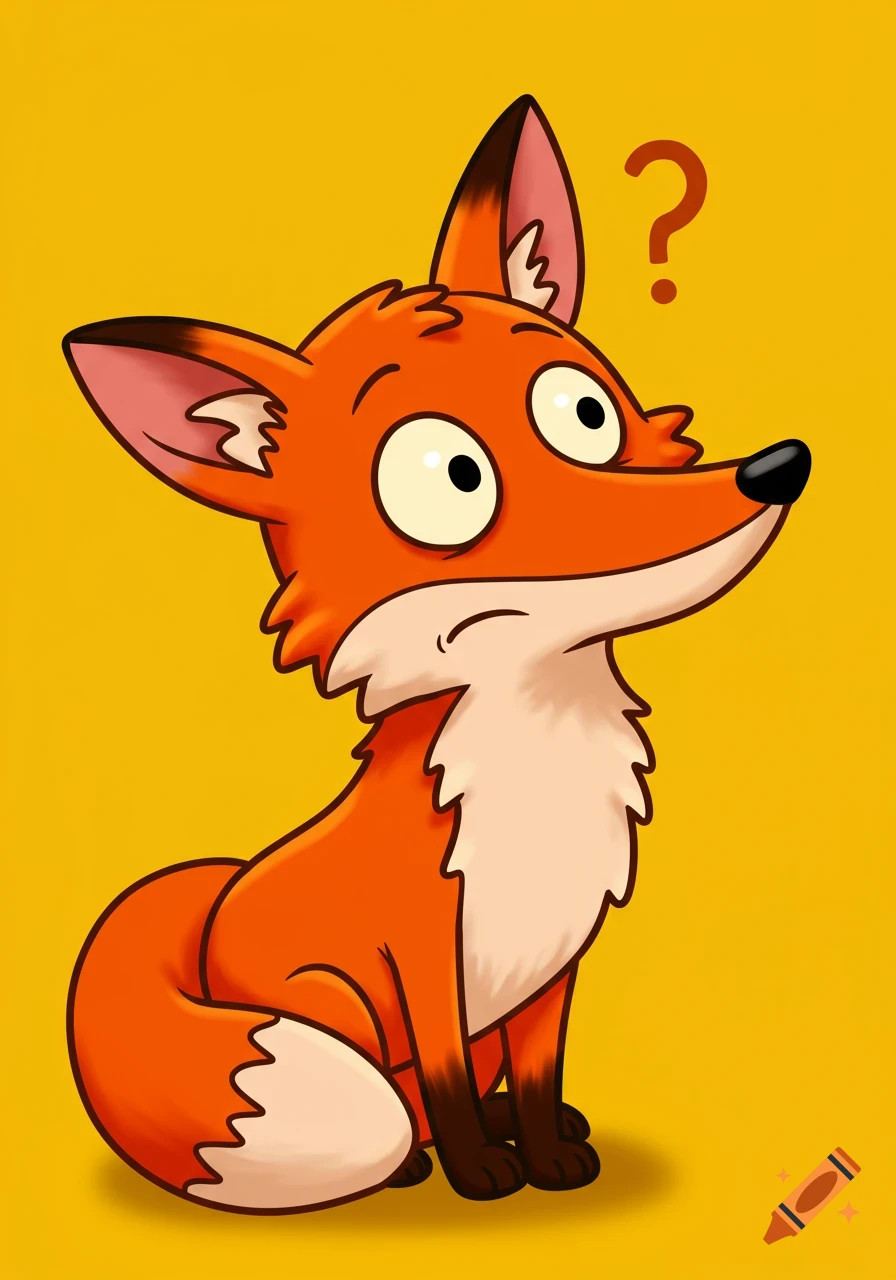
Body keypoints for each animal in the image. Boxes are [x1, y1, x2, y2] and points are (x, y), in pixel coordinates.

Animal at [63, 96, 811, 1215]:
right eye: (451, 477)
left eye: (586, 413)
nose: (774, 469)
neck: (535, 764)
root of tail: (207, 915)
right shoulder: (419, 959)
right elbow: (452, 1079)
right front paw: (484, 1174)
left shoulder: (554, 967)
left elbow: (537, 1075)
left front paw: (547, 1156)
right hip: (336, 1003)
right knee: (408, 1100)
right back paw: (422, 1159)